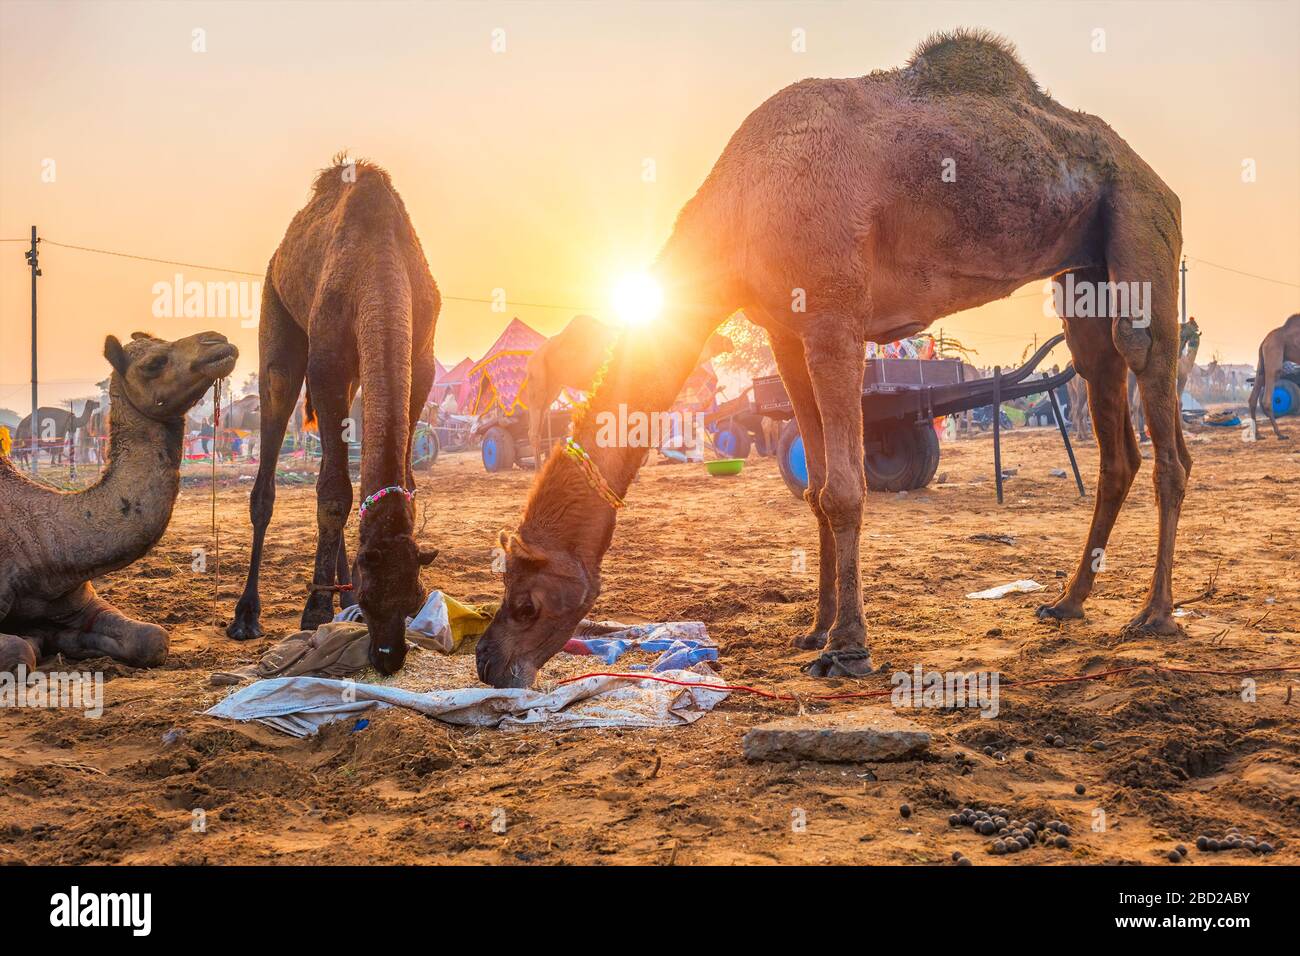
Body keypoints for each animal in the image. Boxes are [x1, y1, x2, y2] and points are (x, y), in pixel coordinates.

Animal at [0, 332, 237, 675]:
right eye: (153, 363)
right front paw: (33, 639)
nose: (217, 340)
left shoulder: (76, 601)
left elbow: (152, 638)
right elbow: (19, 651)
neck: (44, 551)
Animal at [226, 158, 440, 675]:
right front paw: (317, 608)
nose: (388, 656)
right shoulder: (327, 362)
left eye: (412, 600)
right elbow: (333, 492)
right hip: (277, 315)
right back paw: (247, 615)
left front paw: (340, 595)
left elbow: (399, 477)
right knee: (276, 408)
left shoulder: (421, 361)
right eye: (372, 601)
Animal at [476, 30, 1190, 688]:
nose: (488, 661)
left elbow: (846, 488)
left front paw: (848, 649)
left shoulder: (834, 318)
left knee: (1154, 391)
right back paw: (1068, 602)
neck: (743, 203)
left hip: (1142, 224)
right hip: (1083, 278)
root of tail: (1158, 179)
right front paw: (814, 629)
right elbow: (816, 487)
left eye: (524, 602)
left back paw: (1154, 613)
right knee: (1111, 418)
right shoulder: (787, 334)